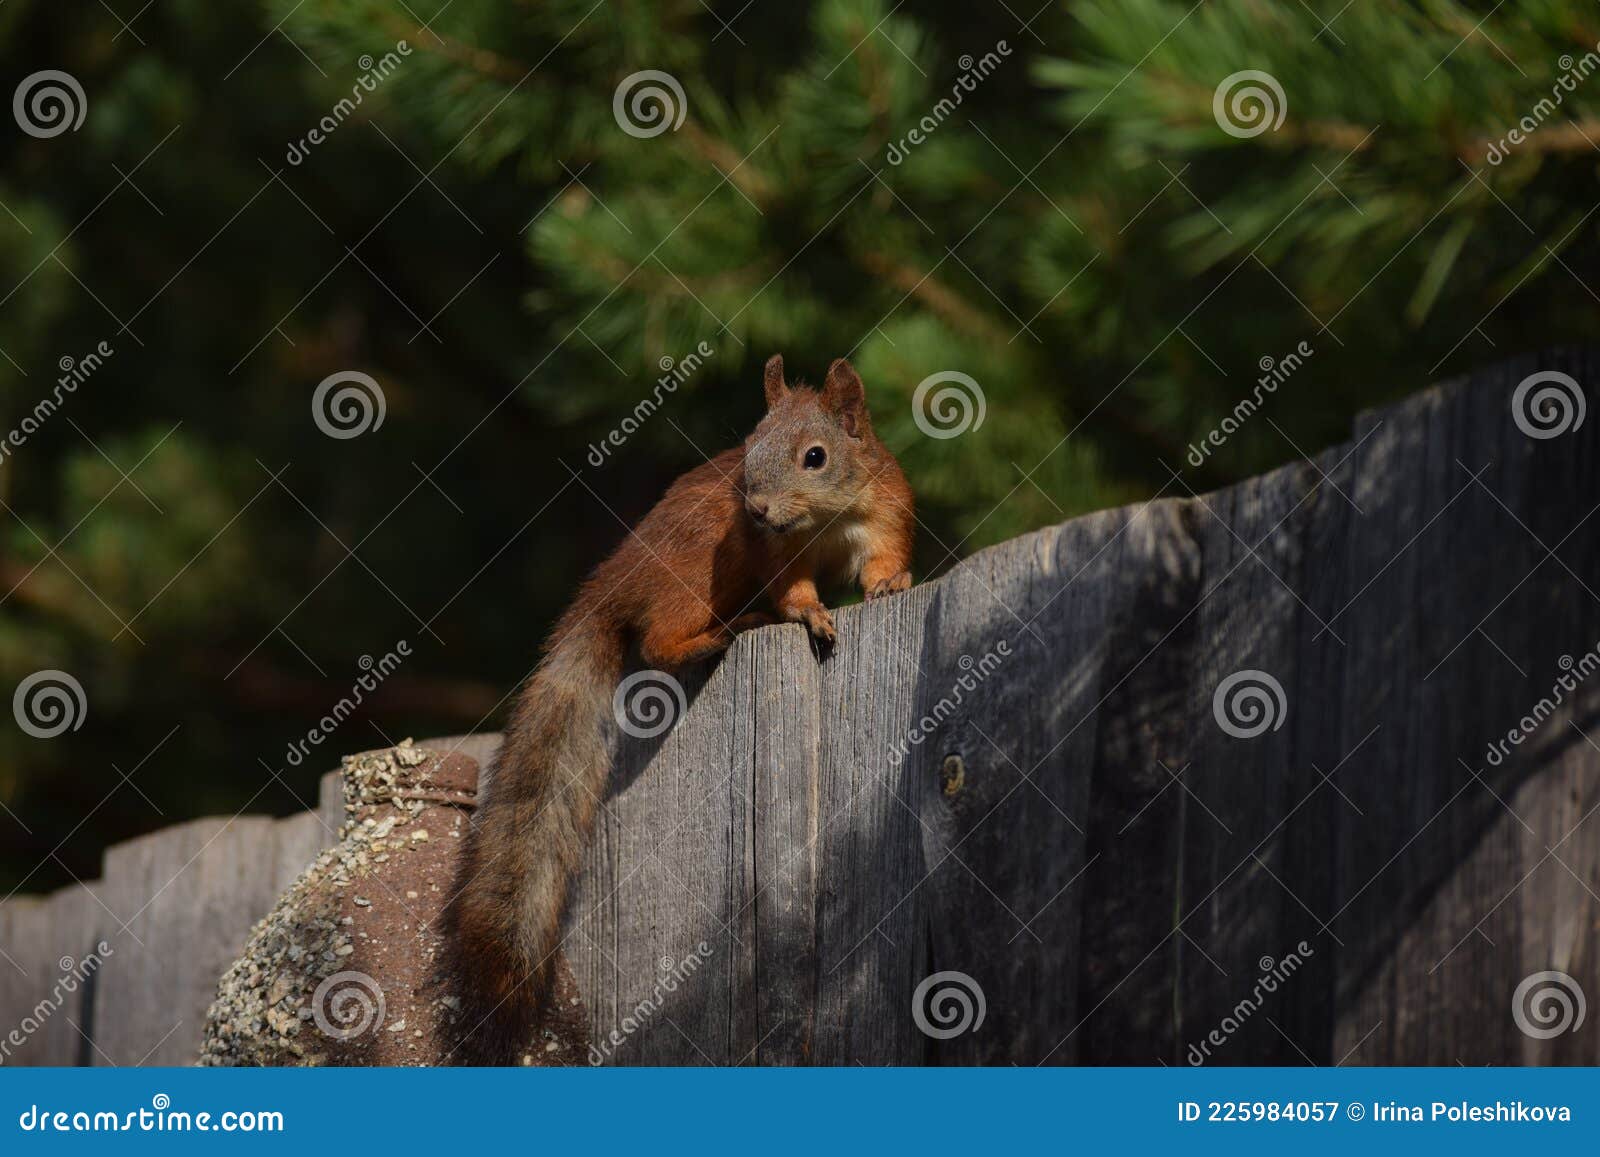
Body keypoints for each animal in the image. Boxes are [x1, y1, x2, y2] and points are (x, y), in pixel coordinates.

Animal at [443, 354, 915, 1064]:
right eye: (749, 447)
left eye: (816, 456)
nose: (756, 508)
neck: (822, 522)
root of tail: (612, 586)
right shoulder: (774, 554)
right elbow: (794, 591)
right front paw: (809, 614)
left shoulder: (884, 510)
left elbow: (885, 558)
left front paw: (892, 584)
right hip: (699, 567)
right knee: (660, 641)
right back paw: (725, 631)